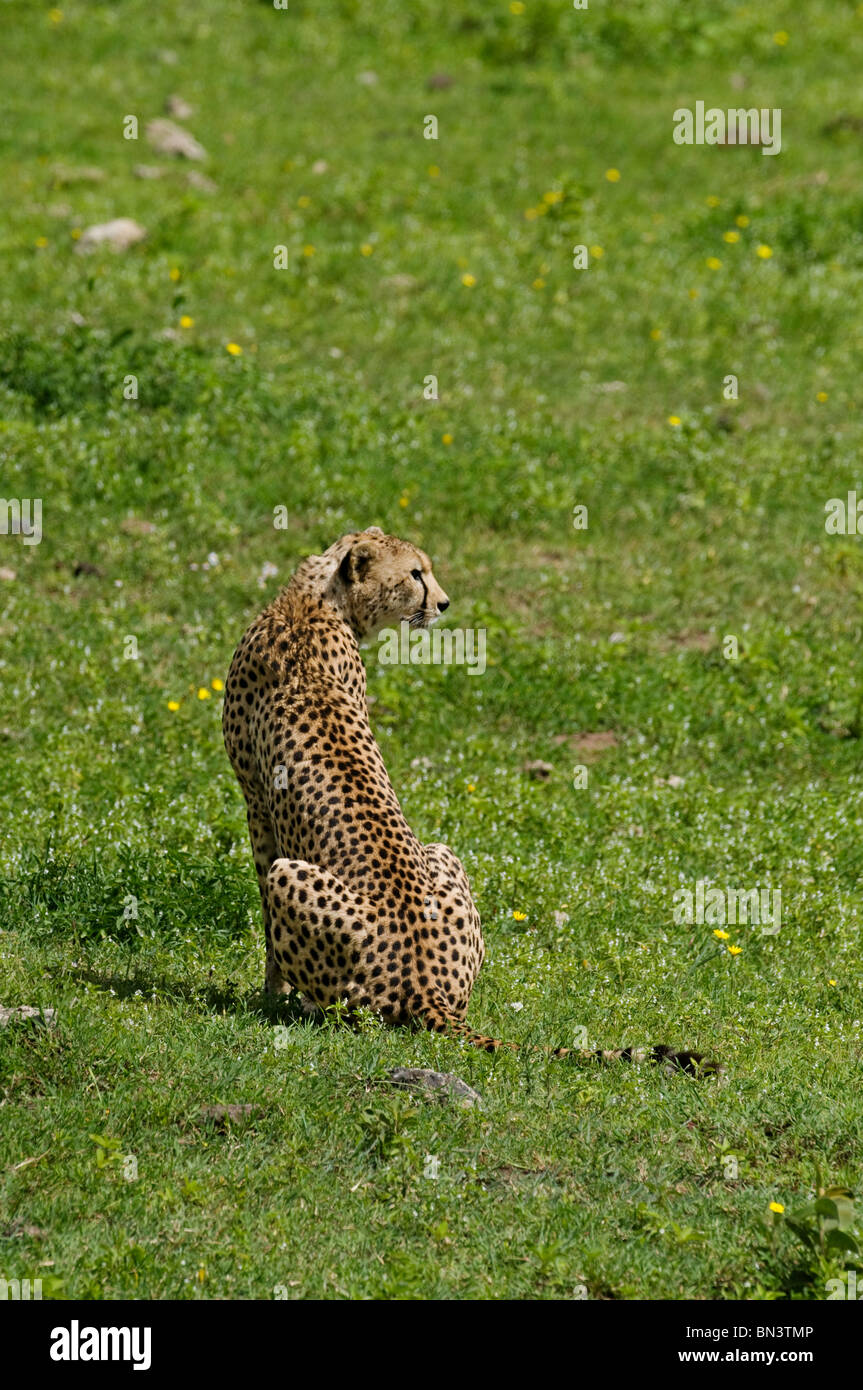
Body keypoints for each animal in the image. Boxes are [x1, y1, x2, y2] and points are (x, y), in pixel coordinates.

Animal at [222, 527, 719, 1074]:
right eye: (415, 573)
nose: (443, 603)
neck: (314, 602)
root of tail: (425, 988)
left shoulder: (256, 805)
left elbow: (266, 928)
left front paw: (271, 995)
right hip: (442, 854)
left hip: (290, 877)